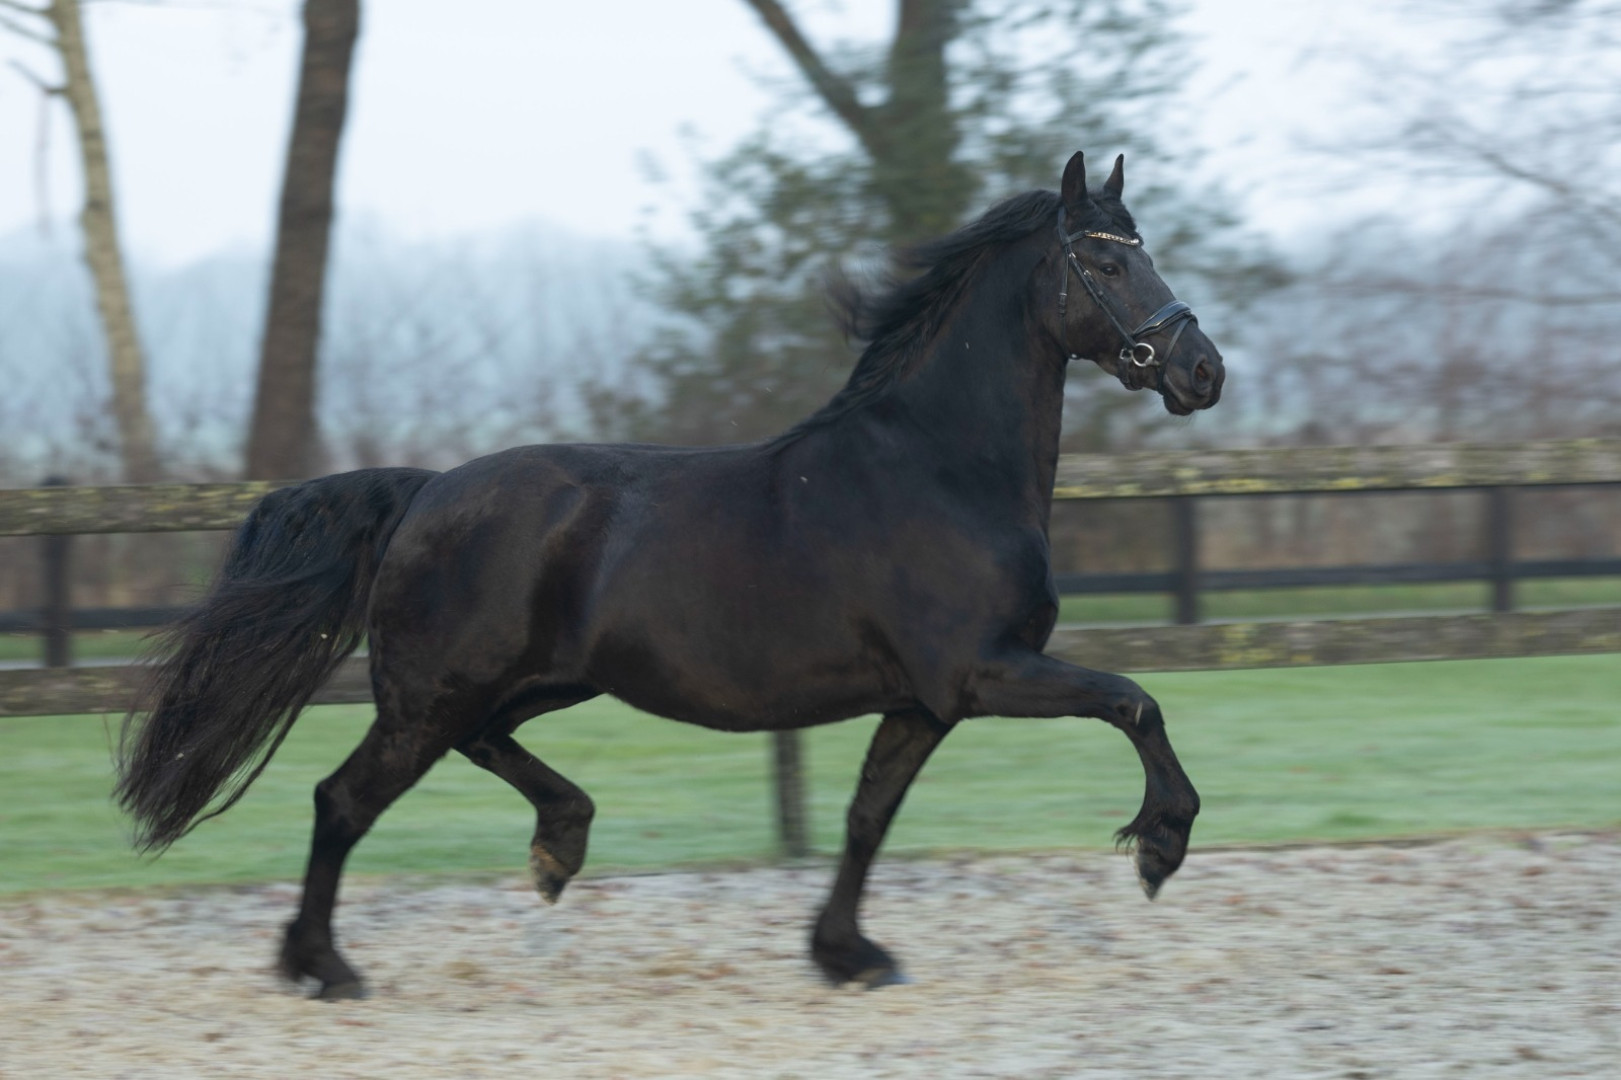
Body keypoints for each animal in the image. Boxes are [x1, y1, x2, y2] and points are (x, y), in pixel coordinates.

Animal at [117, 151, 1224, 999]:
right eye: (1101, 258)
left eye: (1142, 247)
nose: (1201, 371)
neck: (940, 469)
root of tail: (426, 493)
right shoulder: (979, 673)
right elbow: (1133, 700)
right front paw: (1161, 845)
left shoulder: (921, 702)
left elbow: (867, 818)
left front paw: (847, 955)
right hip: (433, 697)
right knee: (341, 801)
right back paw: (325, 966)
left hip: (531, 683)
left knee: (480, 748)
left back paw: (558, 847)